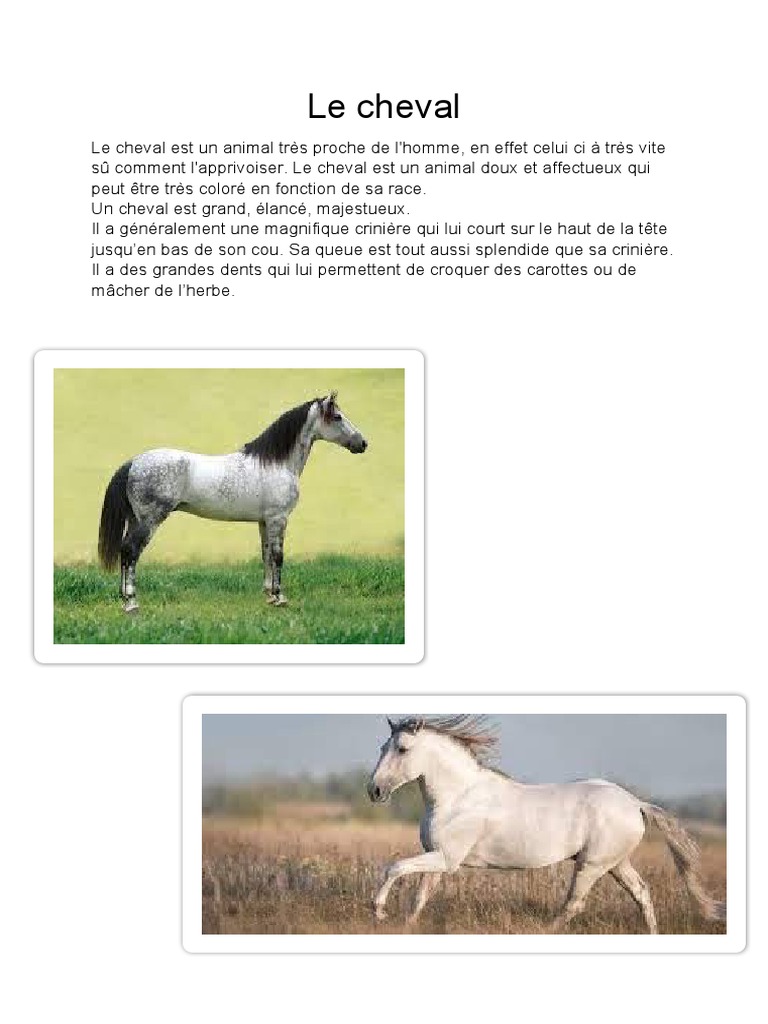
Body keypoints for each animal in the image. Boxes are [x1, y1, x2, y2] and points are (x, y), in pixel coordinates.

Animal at [97, 391, 367, 612]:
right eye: (338, 417)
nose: (363, 443)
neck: (276, 463)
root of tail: (134, 462)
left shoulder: (264, 521)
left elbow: (266, 555)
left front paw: (269, 596)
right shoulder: (278, 518)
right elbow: (278, 556)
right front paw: (280, 598)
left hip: (136, 519)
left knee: (124, 550)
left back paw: (124, 598)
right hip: (149, 521)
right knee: (131, 551)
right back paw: (131, 602)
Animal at [367, 716, 725, 933]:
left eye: (402, 749)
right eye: (383, 746)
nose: (374, 791)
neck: (458, 796)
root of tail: (635, 803)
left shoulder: (447, 859)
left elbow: (394, 868)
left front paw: (379, 911)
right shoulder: (438, 858)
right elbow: (419, 898)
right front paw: (405, 926)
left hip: (592, 865)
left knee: (574, 904)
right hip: (615, 863)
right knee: (642, 893)